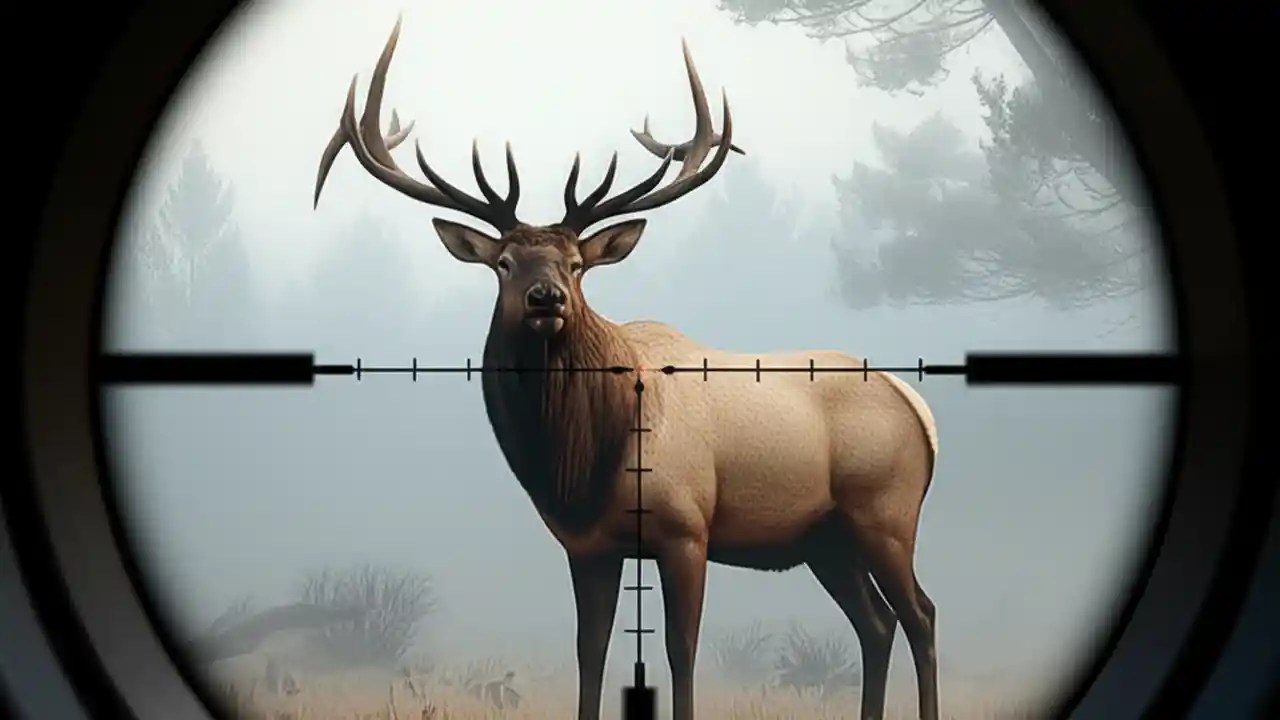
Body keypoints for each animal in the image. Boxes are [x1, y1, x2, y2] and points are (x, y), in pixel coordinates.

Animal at [313, 17, 941, 720]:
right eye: (504, 263)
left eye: (576, 266)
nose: (547, 298)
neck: (587, 465)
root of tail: (916, 406)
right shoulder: (586, 545)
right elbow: (590, 652)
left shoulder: (687, 528)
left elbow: (680, 651)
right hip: (825, 540)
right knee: (876, 625)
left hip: (885, 512)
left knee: (920, 614)